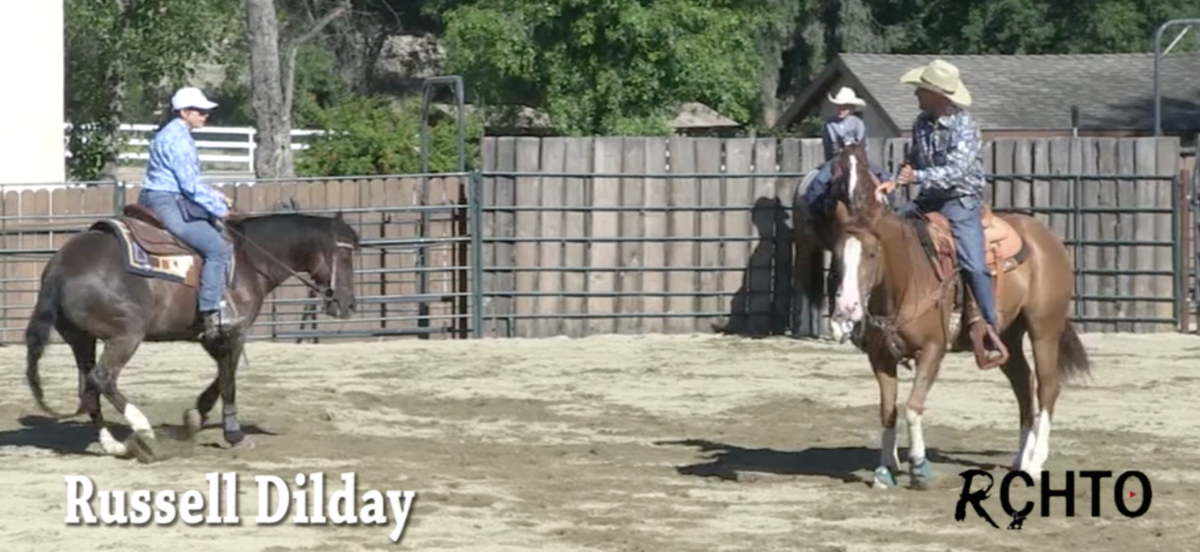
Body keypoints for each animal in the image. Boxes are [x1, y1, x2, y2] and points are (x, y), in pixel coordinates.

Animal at [23, 203, 360, 462]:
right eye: (345, 257)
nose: (348, 304)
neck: (249, 260)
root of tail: (59, 267)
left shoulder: (212, 336)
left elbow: (219, 379)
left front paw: (194, 418)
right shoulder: (234, 333)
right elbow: (229, 381)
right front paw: (235, 435)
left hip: (81, 340)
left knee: (89, 387)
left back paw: (113, 444)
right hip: (125, 336)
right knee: (103, 378)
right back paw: (145, 434)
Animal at [826, 152, 1091, 490]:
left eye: (872, 254)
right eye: (837, 255)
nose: (847, 308)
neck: (907, 280)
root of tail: (1048, 239)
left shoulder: (932, 350)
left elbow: (913, 407)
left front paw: (919, 467)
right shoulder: (880, 356)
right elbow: (888, 411)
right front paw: (884, 470)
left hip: (1044, 329)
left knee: (1047, 387)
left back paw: (1034, 463)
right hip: (1006, 337)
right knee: (1023, 383)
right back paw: (1020, 459)